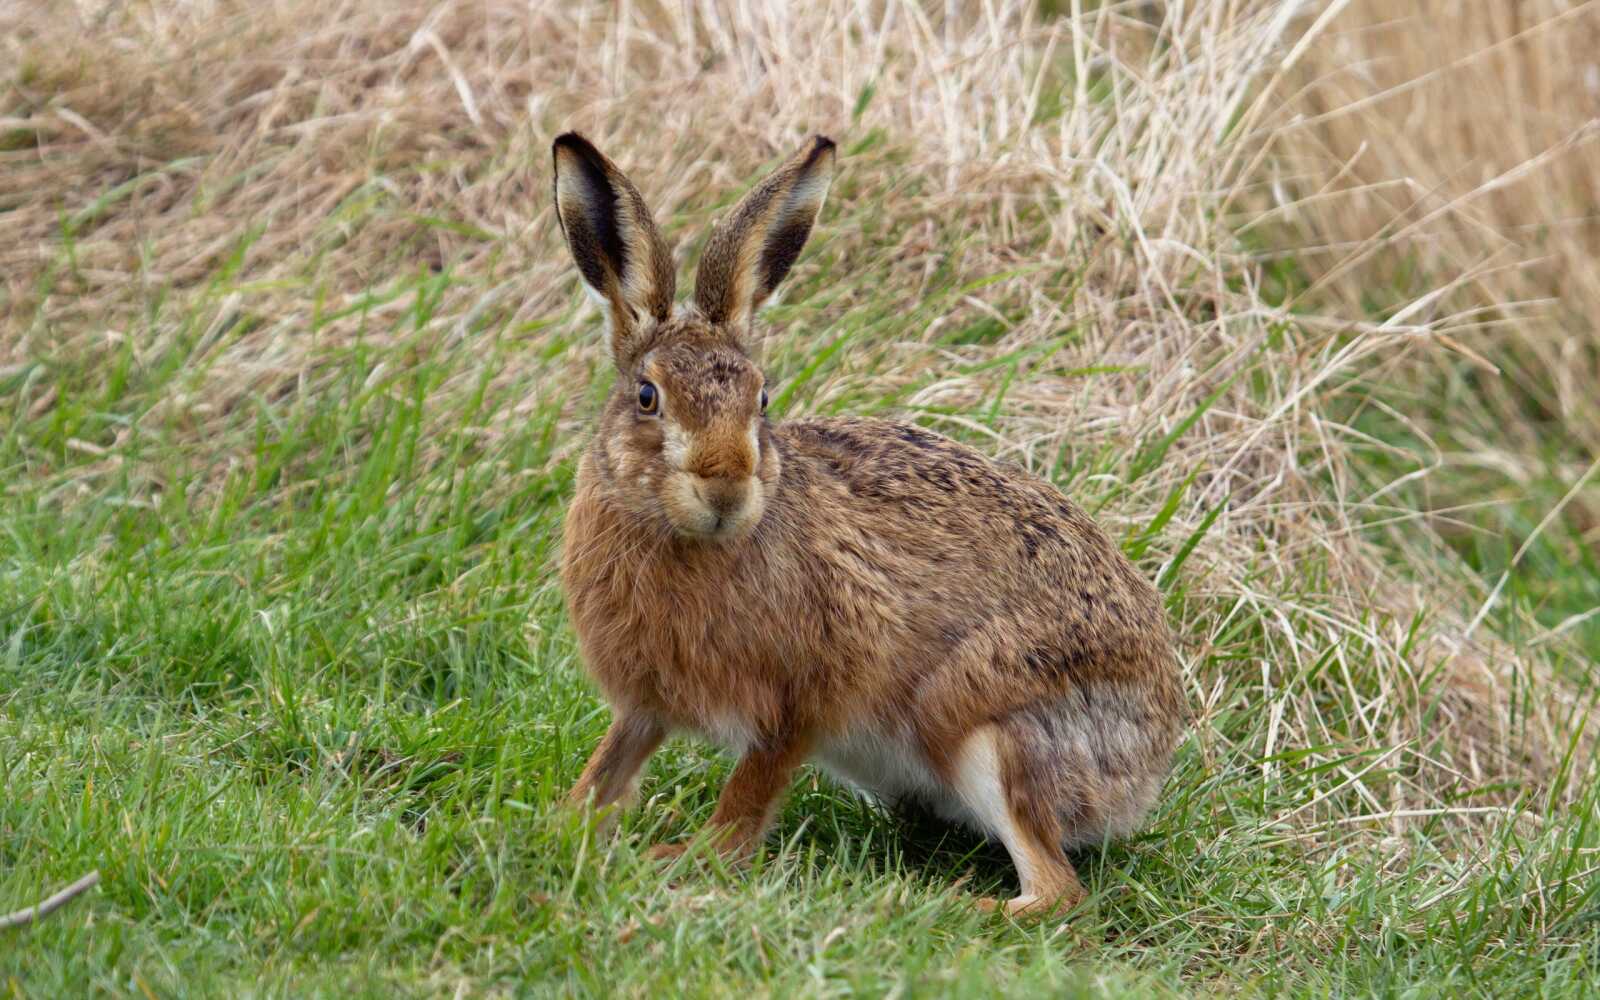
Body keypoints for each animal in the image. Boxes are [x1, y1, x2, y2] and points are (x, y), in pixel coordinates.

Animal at [553, 131, 1185, 918]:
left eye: (763, 400)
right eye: (648, 397)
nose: (725, 485)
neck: (691, 537)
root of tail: (1151, 763)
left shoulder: (807, 693)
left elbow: (749, 791)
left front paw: (690, 859)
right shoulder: (646, 703)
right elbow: (613, 764)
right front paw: (562, 822)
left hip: (986, 730)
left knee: (1054, 890)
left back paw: (932, 905)